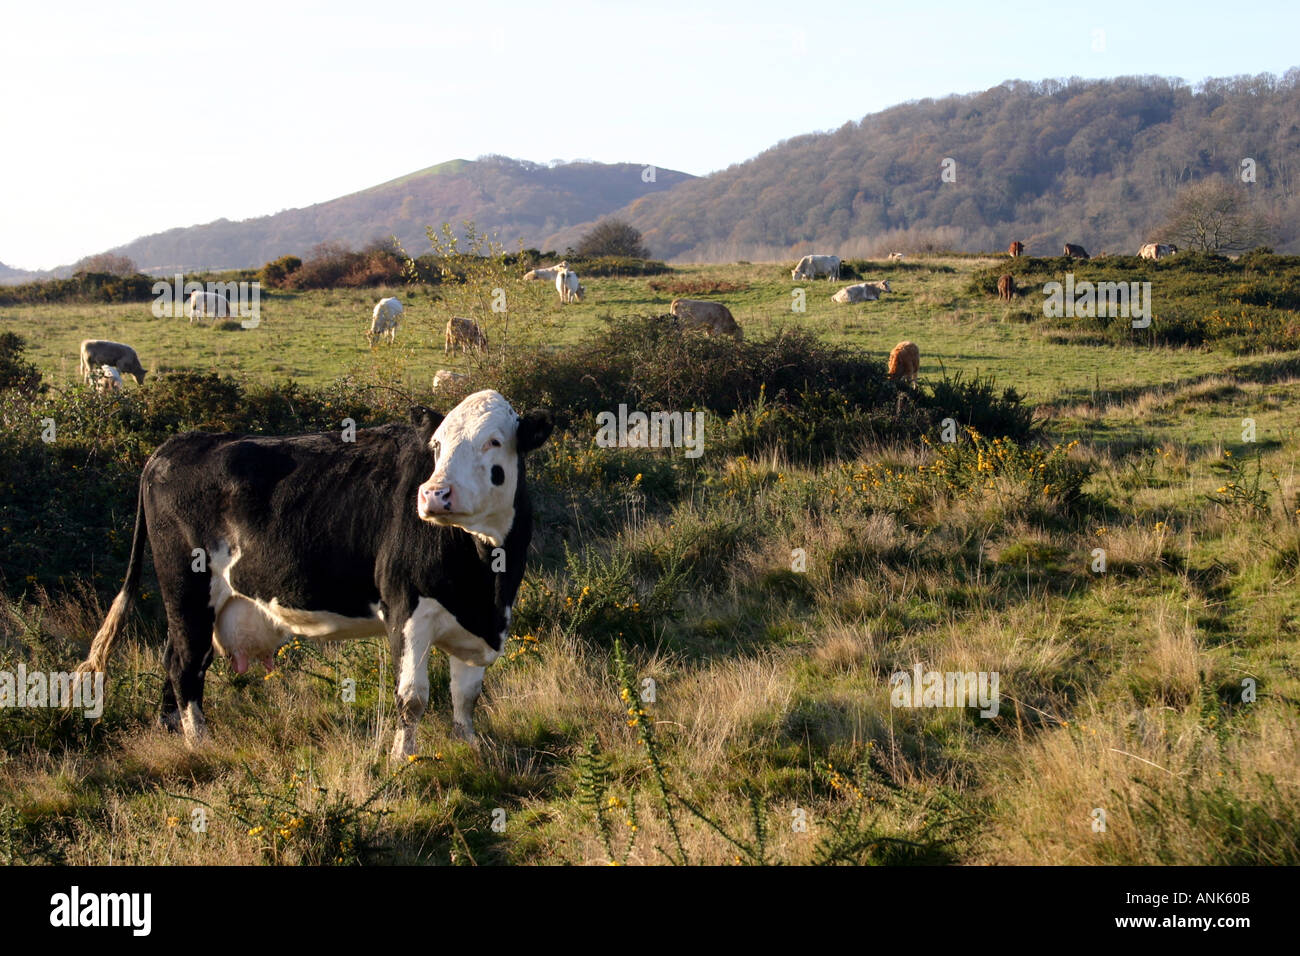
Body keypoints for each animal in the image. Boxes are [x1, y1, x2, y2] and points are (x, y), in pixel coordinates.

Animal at [77, 390, 555, 758]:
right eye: (436, 447)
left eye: (494, 441)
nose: (434, 494)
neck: (485, 579)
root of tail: (174, 446)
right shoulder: (406, 610)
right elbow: (412, 698)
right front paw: (403, 757)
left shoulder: (480, 624)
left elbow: (466, 695)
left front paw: (470, 746)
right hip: (187, 588)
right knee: (185, 665)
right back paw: (201, 742)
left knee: (174, 658)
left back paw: (172, 730)